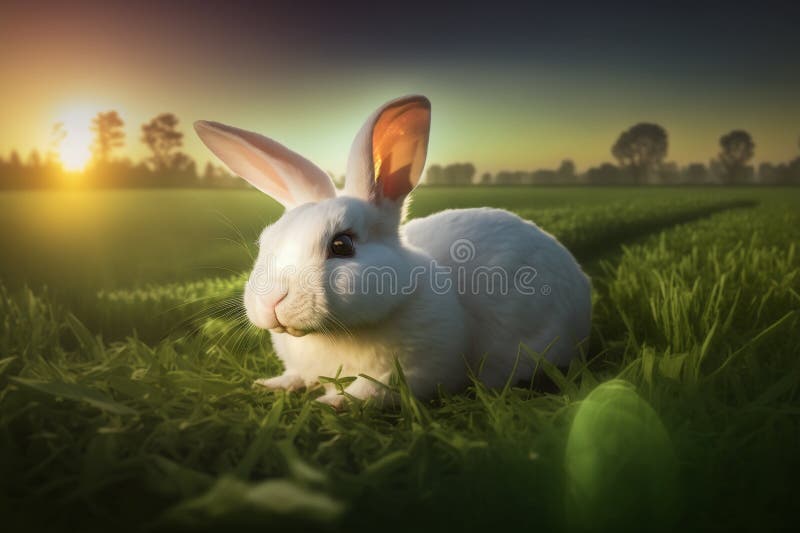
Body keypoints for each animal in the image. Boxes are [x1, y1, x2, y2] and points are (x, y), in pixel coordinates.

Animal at [194, 95, 591, 409]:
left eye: (342, 245)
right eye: (265, 242)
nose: (272, 301)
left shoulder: (415, 370)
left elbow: (371, 390)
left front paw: (330, 402)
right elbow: (296, 375)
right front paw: (270, 385)